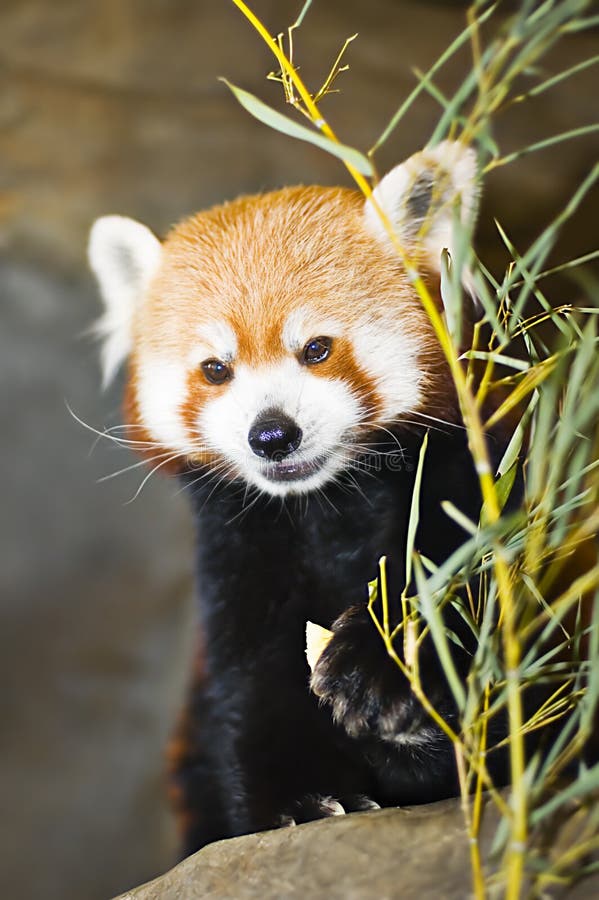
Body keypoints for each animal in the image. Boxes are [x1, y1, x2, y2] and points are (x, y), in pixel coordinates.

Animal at [88, 141, 515, 853]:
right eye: (216, 369)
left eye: (316, 348)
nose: (271, 434)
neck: (326, 504)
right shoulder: (241, 551)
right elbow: (252, 678)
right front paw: (300, 799)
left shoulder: (463, 483)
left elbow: (454, 580)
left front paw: (380, 672)